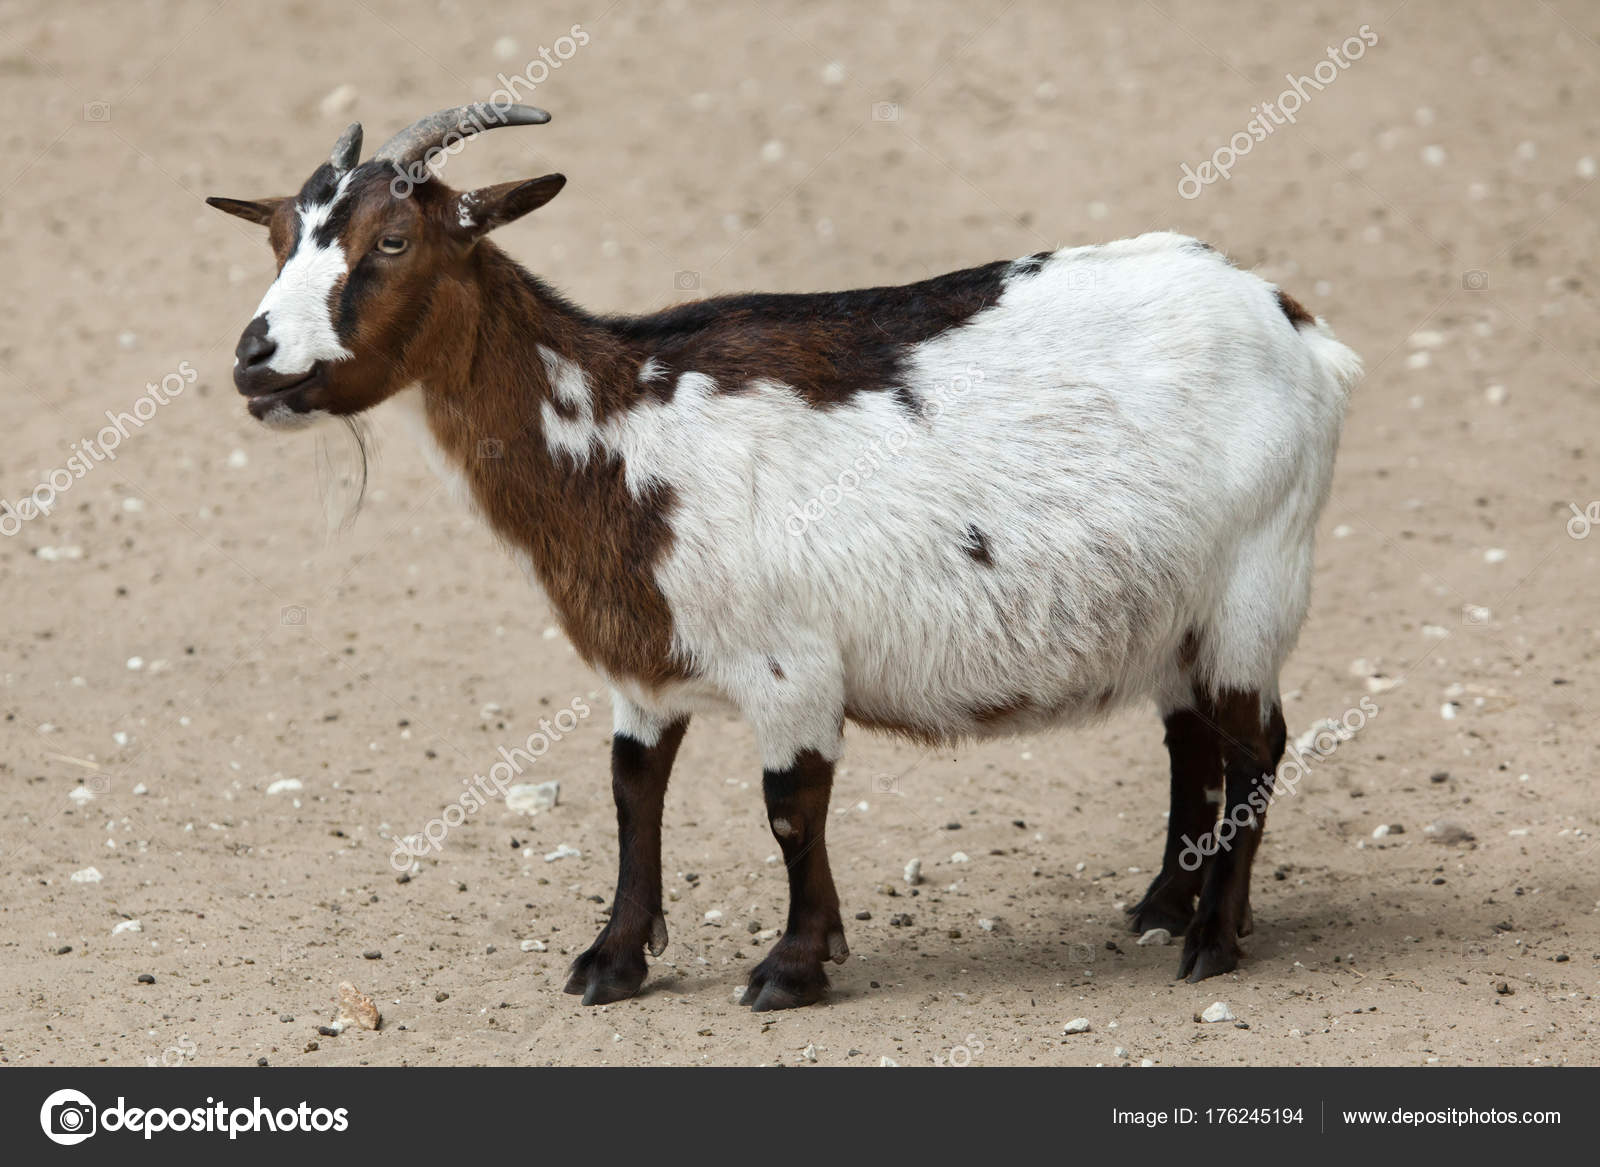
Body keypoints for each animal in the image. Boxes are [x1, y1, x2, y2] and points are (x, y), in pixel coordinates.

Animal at [209, 104, 1362, 1011]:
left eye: (395, 239)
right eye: (279, 237)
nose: (255, 358)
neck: (626, 426)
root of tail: (1294, 323)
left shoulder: (790, 668)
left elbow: (788, 811)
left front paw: (792, 968)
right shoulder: (642, 666)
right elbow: (632, 793)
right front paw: (612, 961)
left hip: (1253, 583)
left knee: (1258, 745)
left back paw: (1213, 940)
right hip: (1171, 607)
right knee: (1191, 739)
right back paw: (1161, 907)